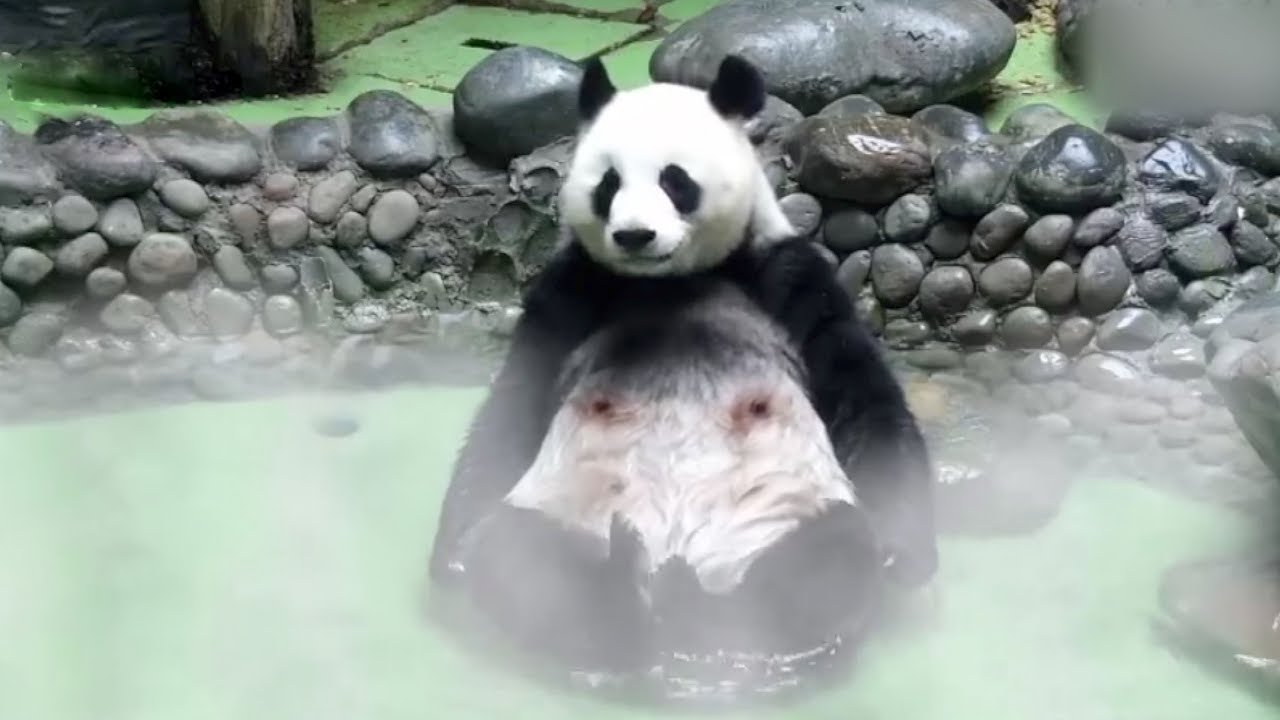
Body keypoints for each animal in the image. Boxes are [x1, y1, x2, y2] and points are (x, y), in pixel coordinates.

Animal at [427, 55, 937, 697]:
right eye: (609, 184)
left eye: (675, 181)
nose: (634, 236)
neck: (668, 283)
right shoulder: (579, 286)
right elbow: (516, 396)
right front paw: (450, 555)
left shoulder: (781, 273)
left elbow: (857, 382)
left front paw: (905, 552)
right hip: (562, 509)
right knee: (522, 565)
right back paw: (620, 596)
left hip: (781, 517)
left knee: (827, 566)